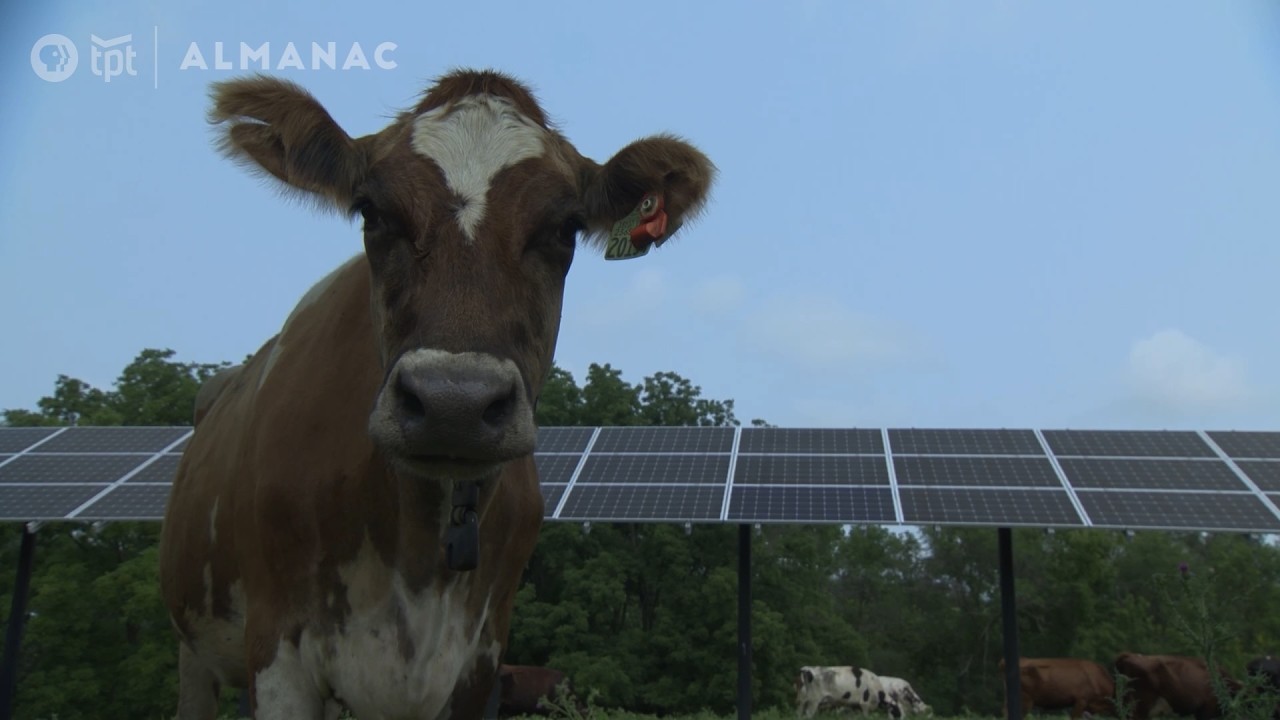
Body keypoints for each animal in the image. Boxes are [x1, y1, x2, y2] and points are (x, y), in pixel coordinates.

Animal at [157, 67, 715, 720]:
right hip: (194, 648)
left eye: (564, 228)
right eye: (372, 212)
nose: (455, 405)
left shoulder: (478, 664)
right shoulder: (278, 653)